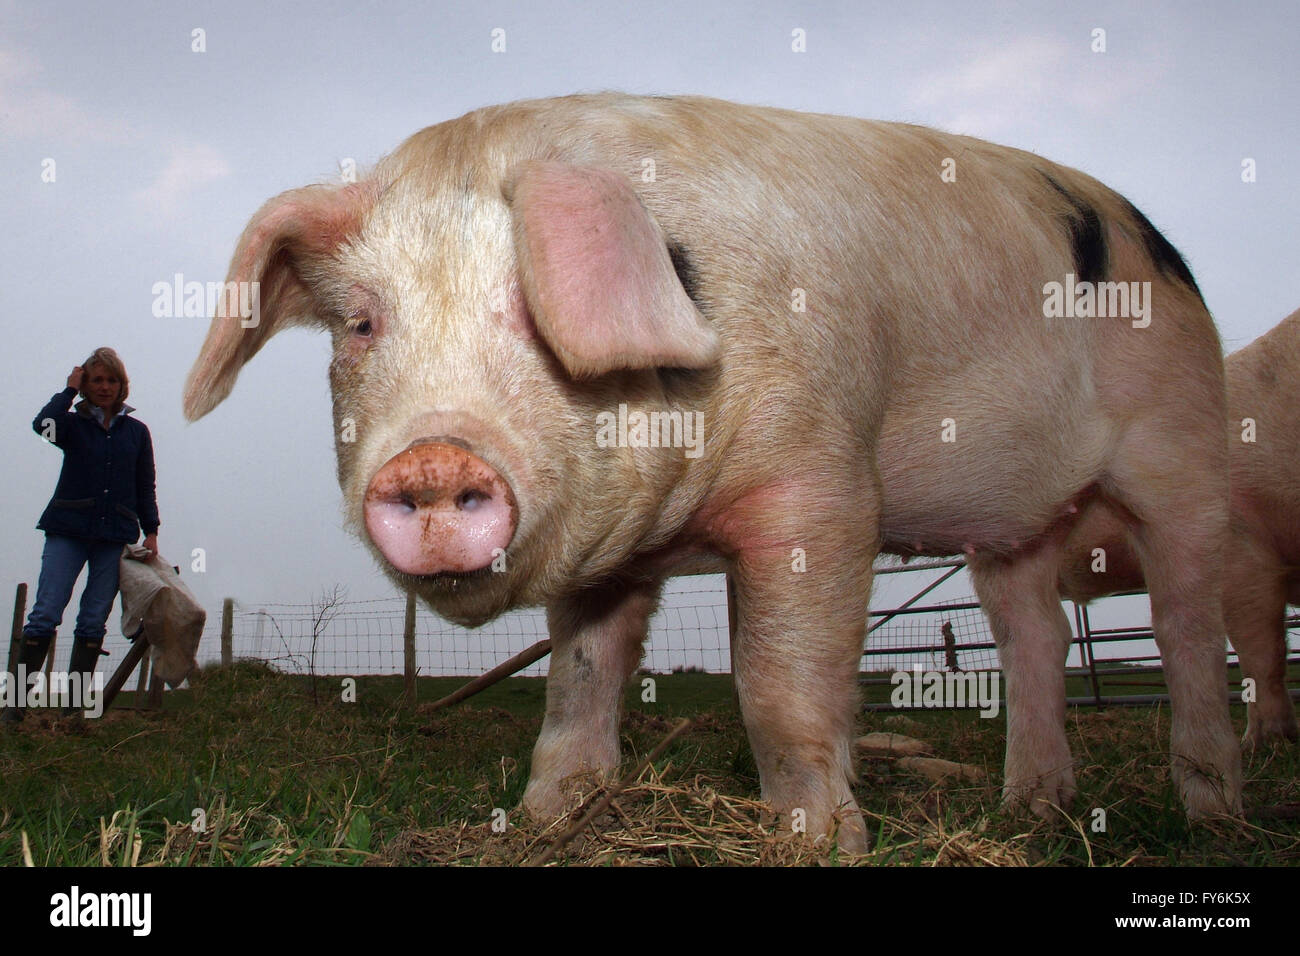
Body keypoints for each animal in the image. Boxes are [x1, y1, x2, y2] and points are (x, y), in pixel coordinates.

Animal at [184, 93, 1242, 849]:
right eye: (362, 324)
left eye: (533, 309)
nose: (433, 459)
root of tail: (1164, 245)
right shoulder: (607, 556)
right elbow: (580, 673)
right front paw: (547, 818)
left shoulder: (823, 488)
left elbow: (775, 679)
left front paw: (816, 841)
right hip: (1010, 529)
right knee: (1035, 638)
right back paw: (1031, 810)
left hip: (1183, 444)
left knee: (1190, 625)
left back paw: (1213, 815)